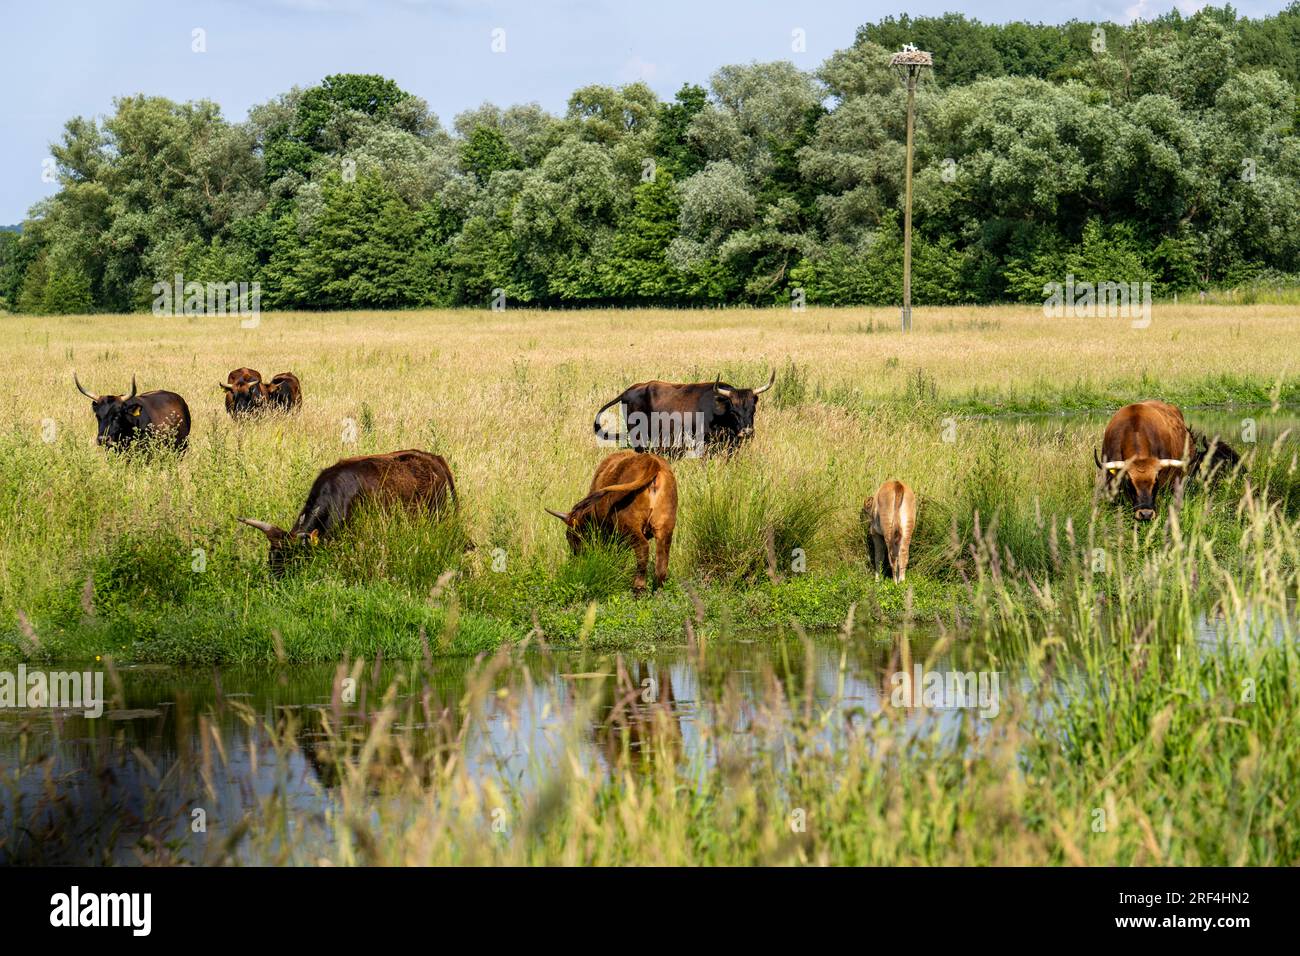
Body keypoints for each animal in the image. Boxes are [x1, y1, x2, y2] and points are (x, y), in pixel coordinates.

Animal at [546, 451, 677, 594]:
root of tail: (651, 462)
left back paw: (638, 587)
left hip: (630, 527)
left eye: (571, 537)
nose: (575, 560)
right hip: (665, 527)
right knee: (661, 560)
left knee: (643, 548)